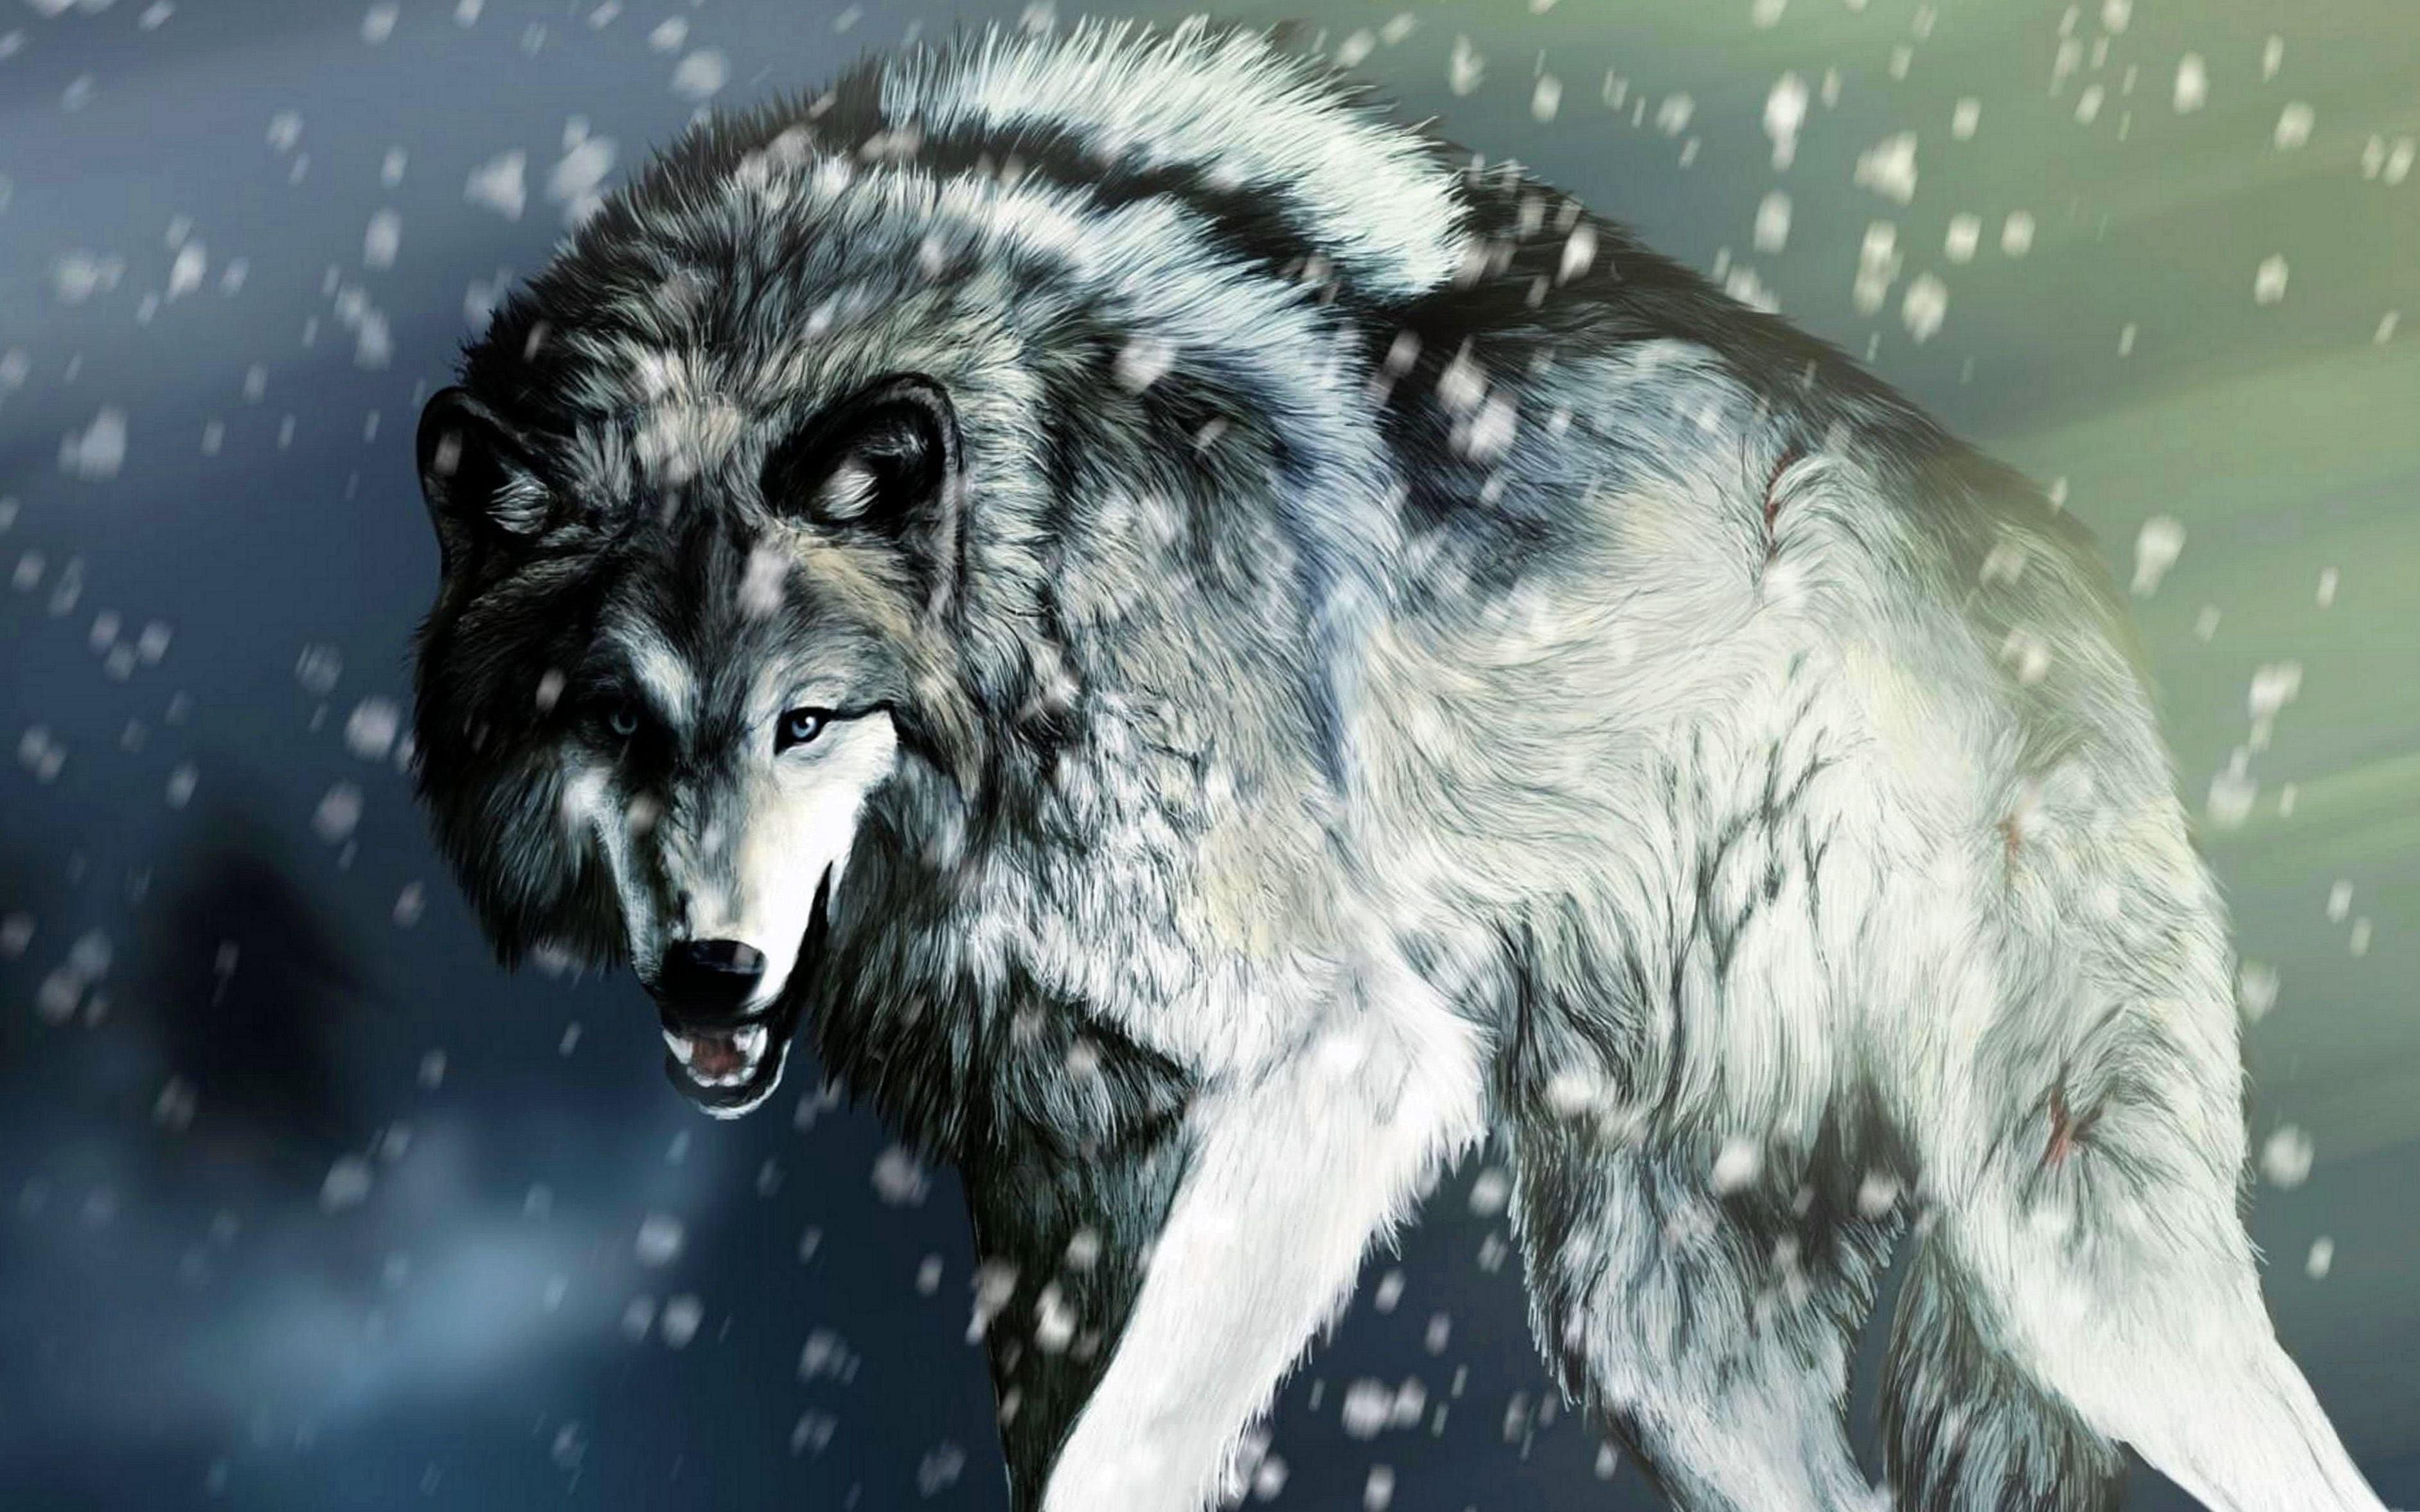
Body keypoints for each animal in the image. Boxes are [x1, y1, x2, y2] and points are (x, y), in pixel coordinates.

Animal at [406, 19, 2398, 1512]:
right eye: (616, 720)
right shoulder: (1058, 1197)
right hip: (1649, 1339)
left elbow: (1124, 1454)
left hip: (2063, 1258)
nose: (709, 973)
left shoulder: (1338, 1059)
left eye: (806, 721)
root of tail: (2051, 546)